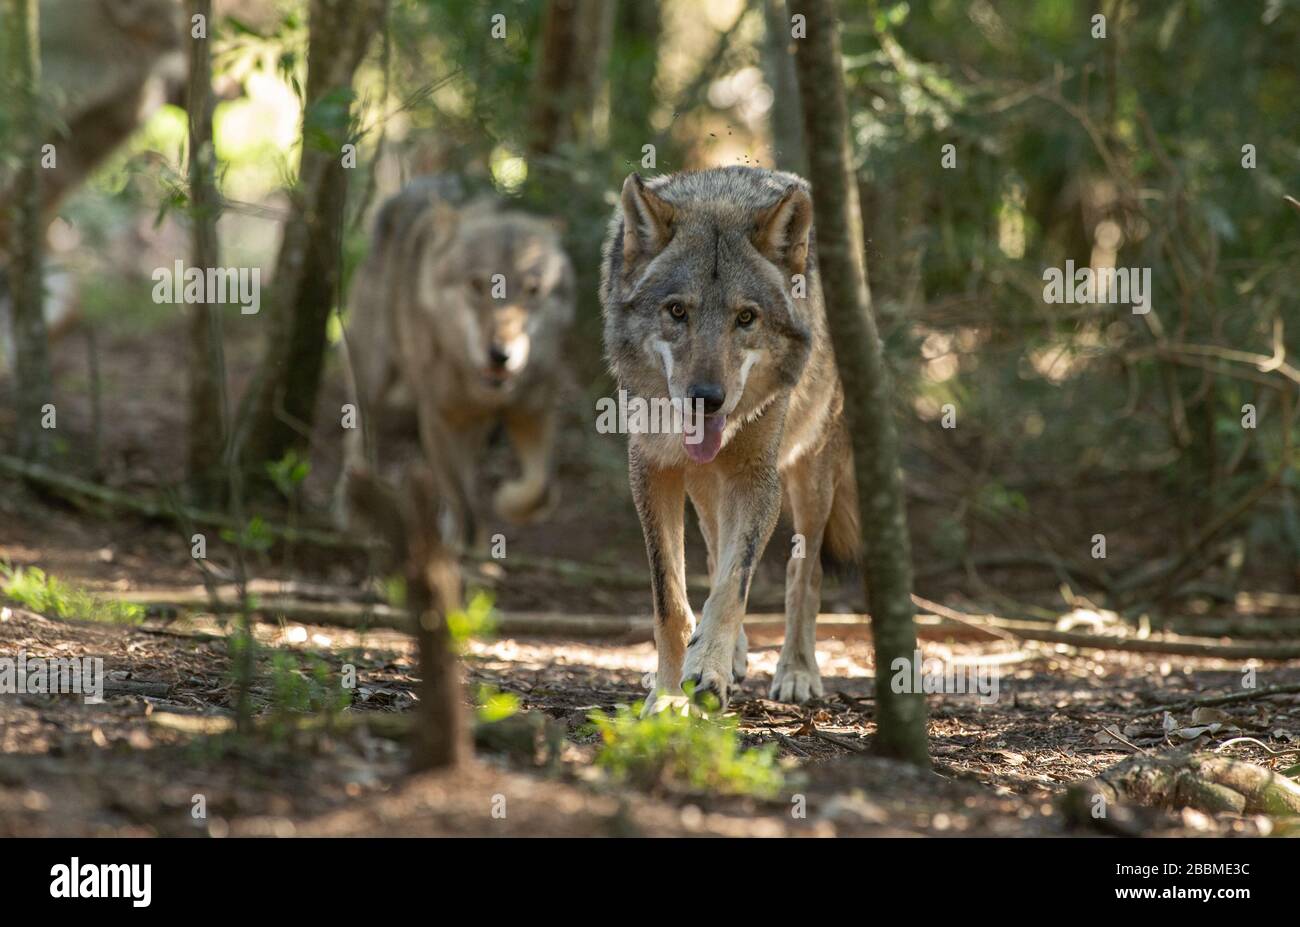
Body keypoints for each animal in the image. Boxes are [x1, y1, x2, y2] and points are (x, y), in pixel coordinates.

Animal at [337, 177, 576, 542]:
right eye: (476, 285)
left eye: (532, 290)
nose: (500, 355)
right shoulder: (439, 416)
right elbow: (465, 508)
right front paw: (465, 545)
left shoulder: (536, 412)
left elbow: (541, 489)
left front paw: (508, 500)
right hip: (372, 380)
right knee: (359, 434)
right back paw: (352, 507)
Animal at [601, 166, 860, 712]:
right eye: (677, 311)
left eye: (746, 318)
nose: (707, 399)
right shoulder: (652, 468)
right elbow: (671, 598)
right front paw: (668, 696)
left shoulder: (756, 476)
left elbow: (734, 585)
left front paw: (707, 668)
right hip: (704, 482)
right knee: (714, 547)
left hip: (810, 474)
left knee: (804, 575)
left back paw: (796, 671)